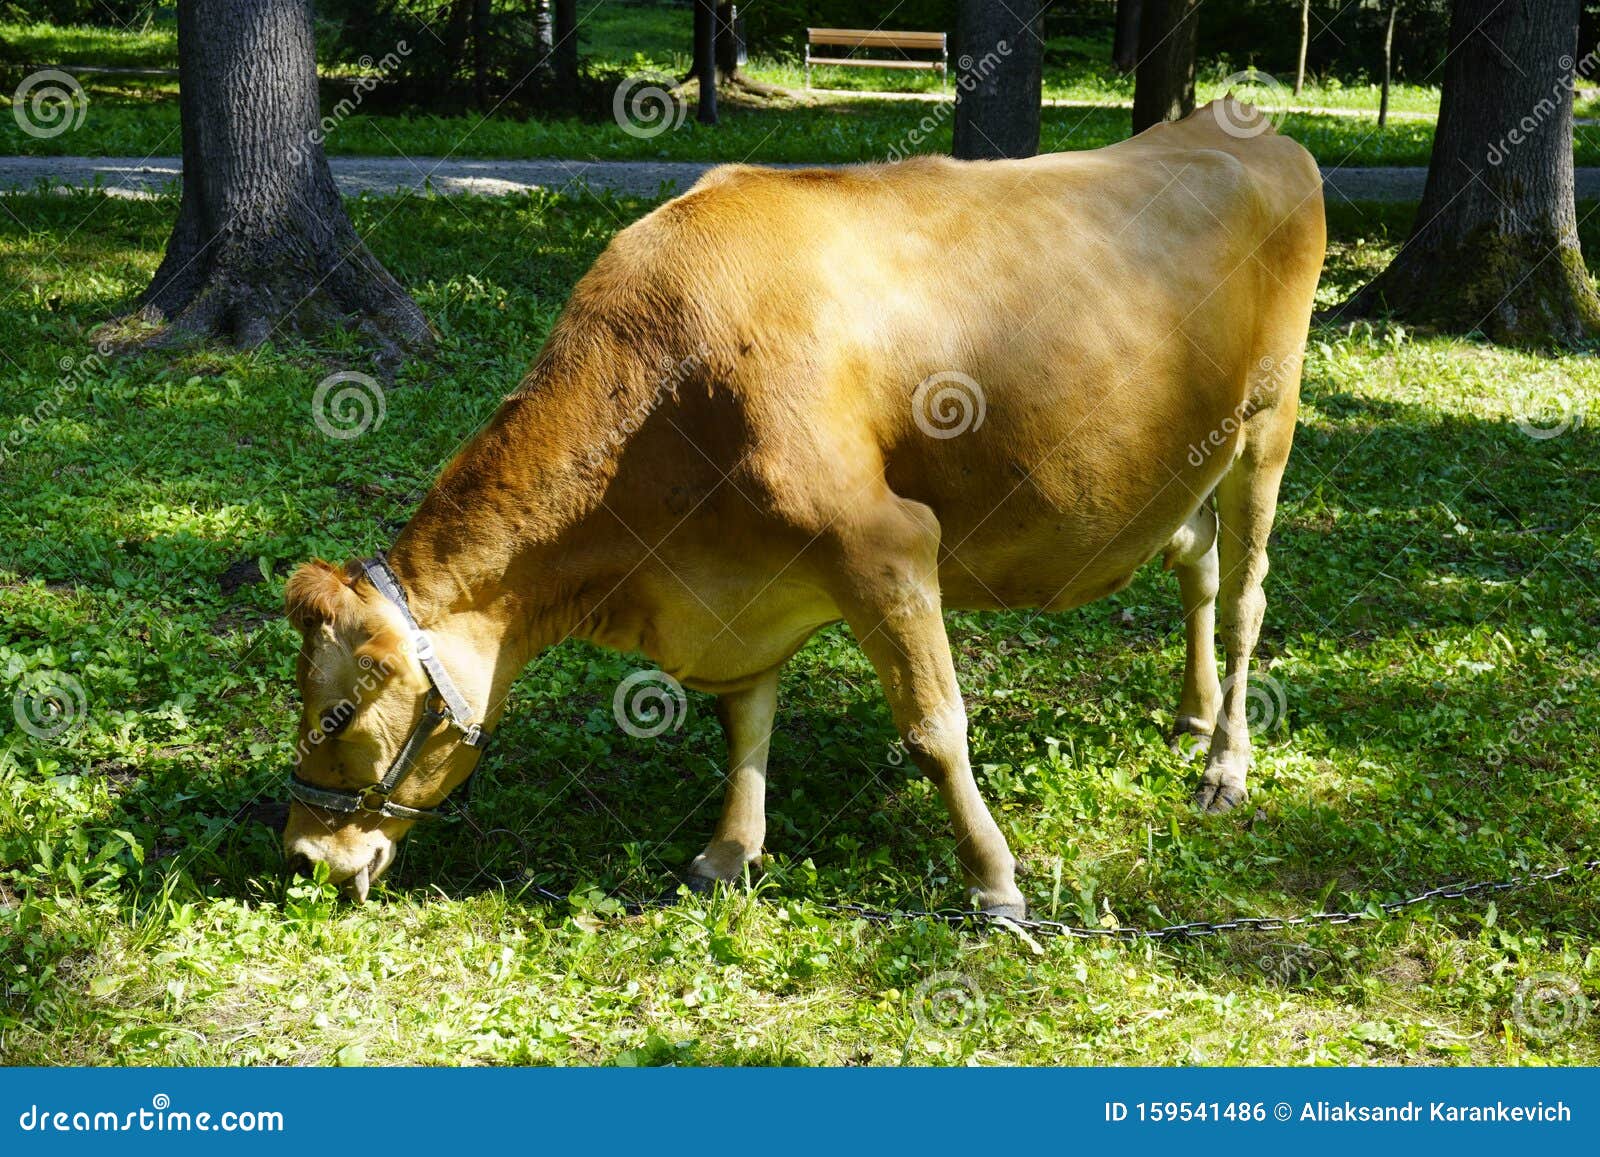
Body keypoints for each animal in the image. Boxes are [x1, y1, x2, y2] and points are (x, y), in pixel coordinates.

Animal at [281, 100, 1326, 912]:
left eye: (336, 715)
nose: (303, 855)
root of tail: (1241, 120)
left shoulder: (886, 545)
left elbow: (934, 728)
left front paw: (995, 883)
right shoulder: (741, 581)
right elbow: (744, 719)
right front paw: (727, 854)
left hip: (1269, 422)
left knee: (1247, 596)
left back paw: (1224, 764)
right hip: (1188, 455)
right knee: (1194, 560)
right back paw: (1191, 714)